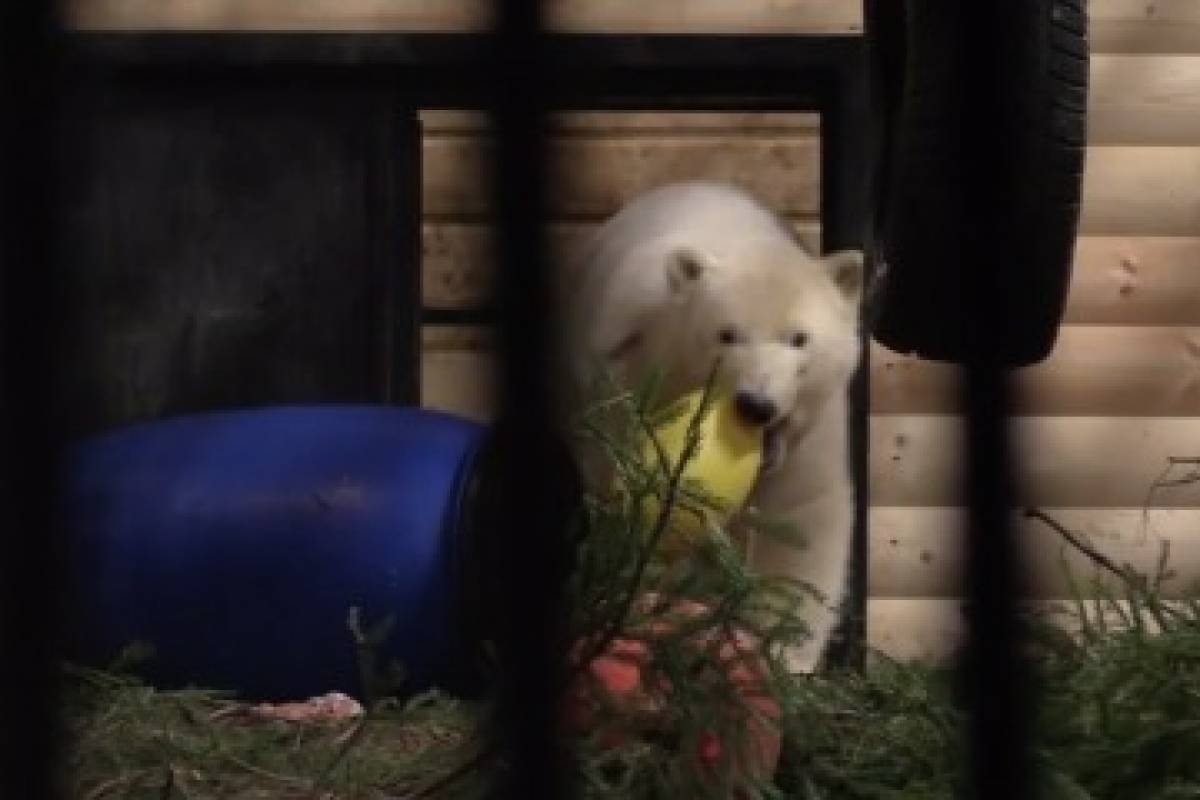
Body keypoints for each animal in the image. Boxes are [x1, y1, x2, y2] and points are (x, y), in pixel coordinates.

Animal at [556, 180, 864, 673]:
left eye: (799, 339)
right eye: (727, 334)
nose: (757, 405)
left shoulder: (815, 422)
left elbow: (803, 514)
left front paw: (784, 655)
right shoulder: (636, 378)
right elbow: (644, 501)